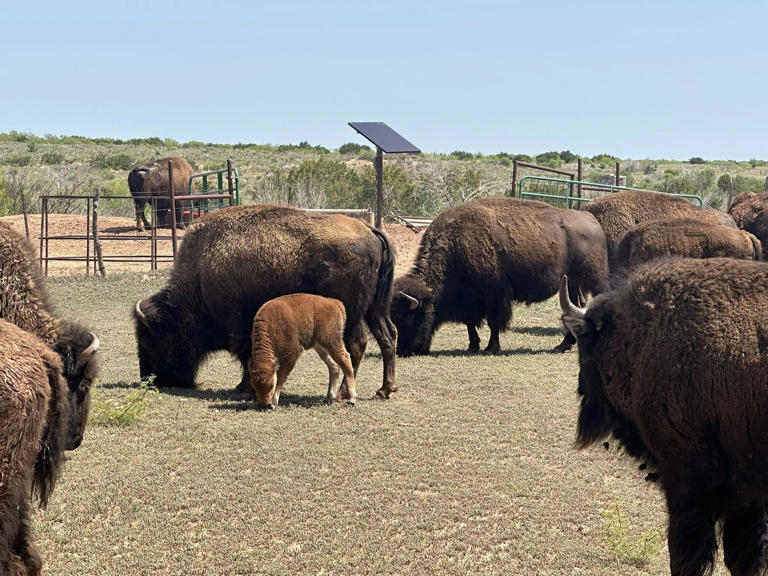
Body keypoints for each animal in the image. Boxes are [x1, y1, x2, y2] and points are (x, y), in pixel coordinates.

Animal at [134, 205, 398, 399]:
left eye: (150, 339)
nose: (150, 379)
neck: (200, 275)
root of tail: (369, 230)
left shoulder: (239, 325)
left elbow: (245, 354)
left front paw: (244, 387)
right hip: (374, 309)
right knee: (388, 336)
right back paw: (385, 389)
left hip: (351, 313)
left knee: (357, 345)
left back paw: (344, 392)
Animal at [391, 197, 608, 356]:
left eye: (407, 317)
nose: (403, 351)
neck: (456, 246)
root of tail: (592, 219)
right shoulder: (471, 300)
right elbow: (470, 322)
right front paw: (473, 345)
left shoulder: (494, 295)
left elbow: (493, 322)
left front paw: (490, 348)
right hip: (571, 282)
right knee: (575, 305)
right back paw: (563, 345)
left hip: (593, 278)